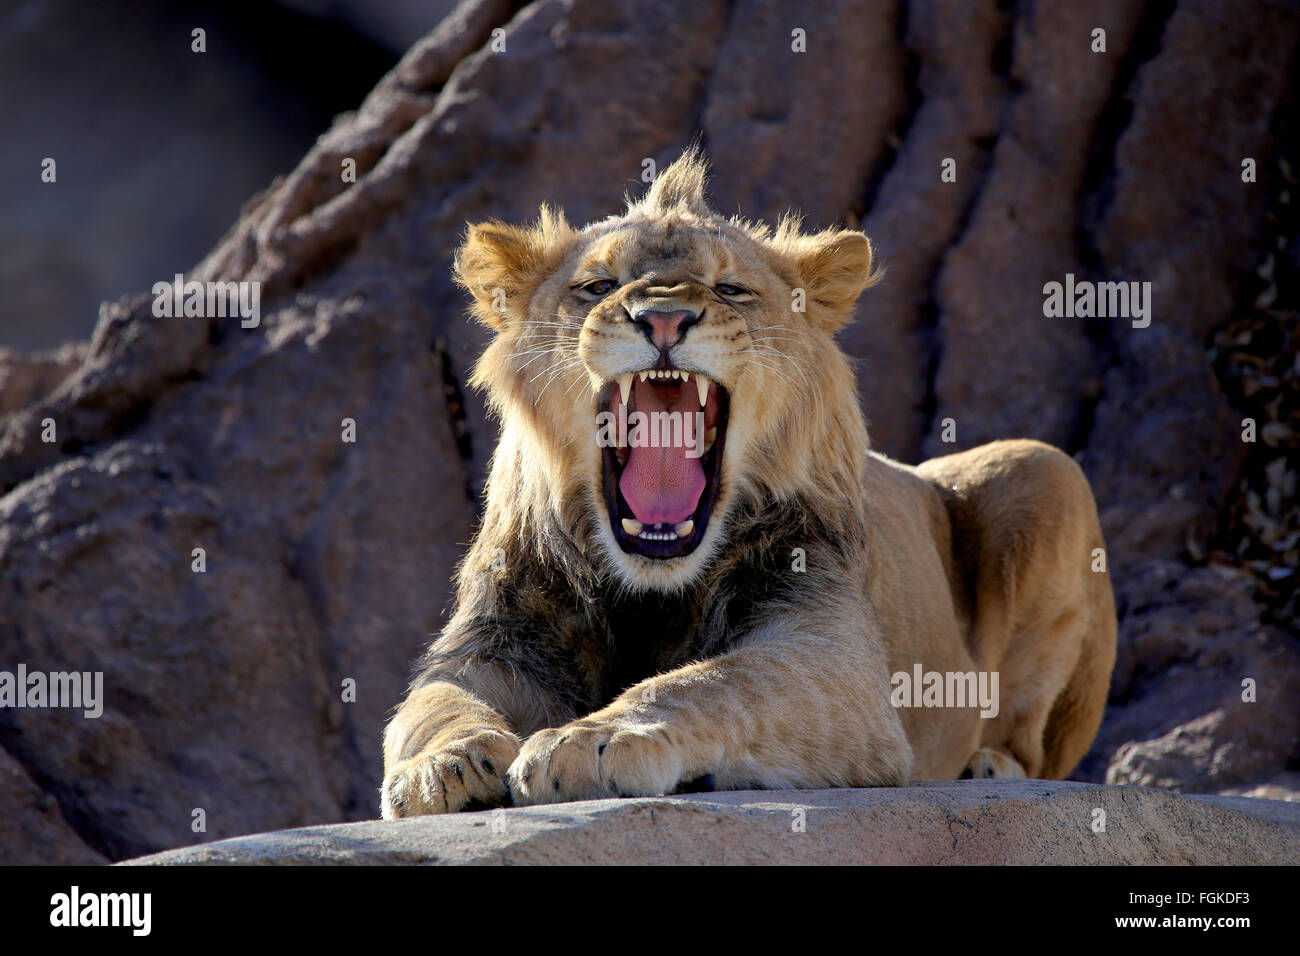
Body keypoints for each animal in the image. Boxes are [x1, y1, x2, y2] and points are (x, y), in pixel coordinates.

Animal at [380, 149, 1117, 817]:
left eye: (730, 290)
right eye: (597, 285)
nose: (664, 318)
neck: (648, 593)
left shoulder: (828, 649)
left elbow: (710, 683)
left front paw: (591, 741)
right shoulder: (494, 644)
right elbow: (431, 705)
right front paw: (442, 766)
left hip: (1043, 468)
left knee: (1028, 740)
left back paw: (985, 764)